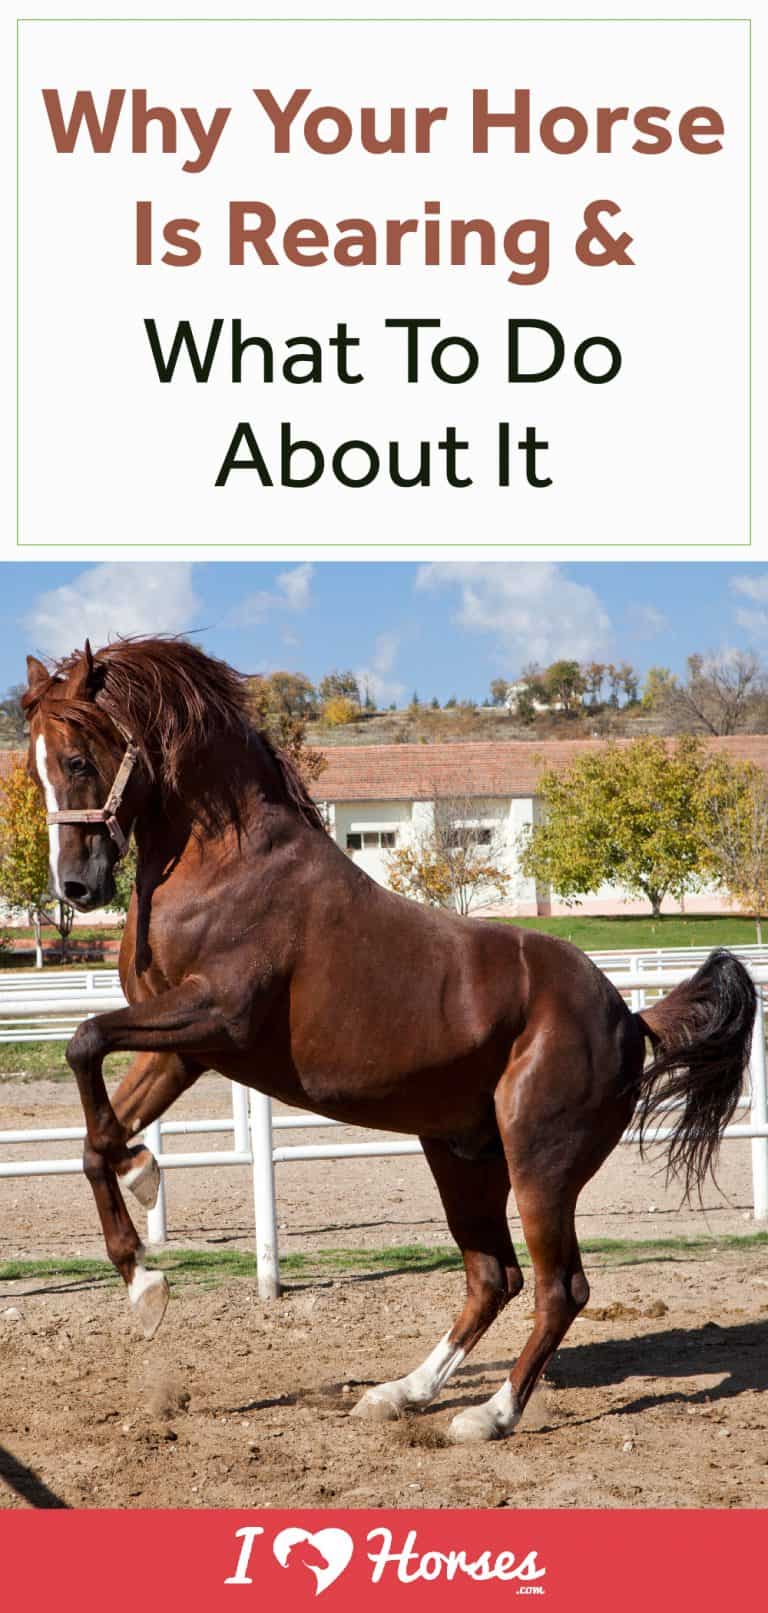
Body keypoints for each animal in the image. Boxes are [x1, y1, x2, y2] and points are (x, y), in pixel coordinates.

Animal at [22, 637, 756, 1444]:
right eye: (34, 766)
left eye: (78, 759)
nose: (75, 889)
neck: (225, 867)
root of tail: (631, 1019)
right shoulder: (185, 1047)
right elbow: (94, 1128)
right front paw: (143, 1264)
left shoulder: (215, 1016)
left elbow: (84, 1042)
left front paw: (144, 1215)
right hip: (462, 1157)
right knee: (493, 1277)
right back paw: (398, 1394)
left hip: (540, 1161)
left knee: (559, 1287)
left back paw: (487, 1416)